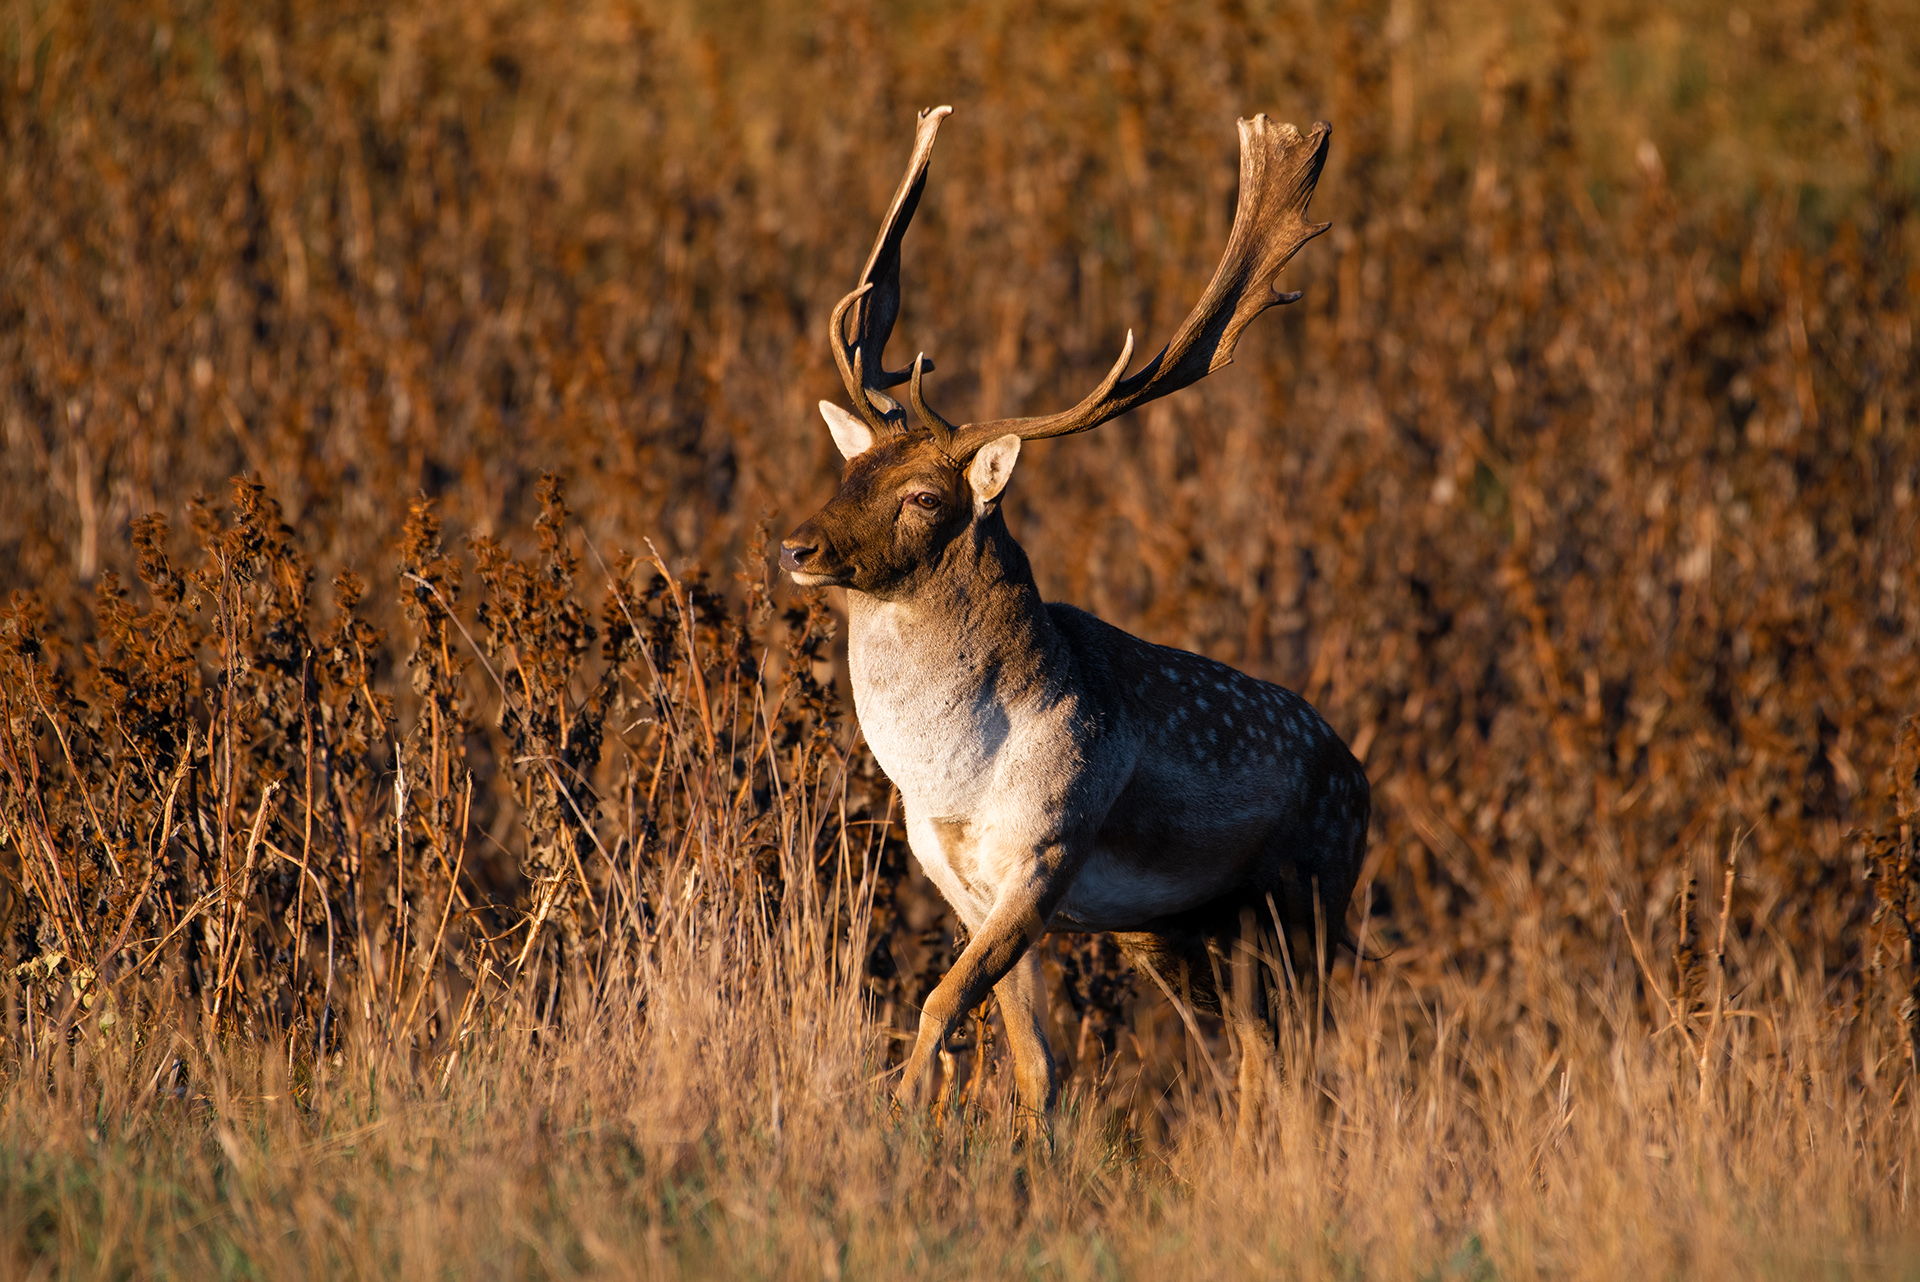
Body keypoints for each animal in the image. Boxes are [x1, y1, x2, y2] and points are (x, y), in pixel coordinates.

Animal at [780, 106, 1368, 1127]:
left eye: (925, 497)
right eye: (848, 470)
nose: (797, 548)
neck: (952, 780)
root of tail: (1364, 780)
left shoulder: (1053, 841)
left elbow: (940, 1002)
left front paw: (899, 1112)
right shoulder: (960, 880)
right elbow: (1033, 1060)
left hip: (1312, 898)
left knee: (1299, 1058)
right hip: (1184, 933)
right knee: (1261, 1057)